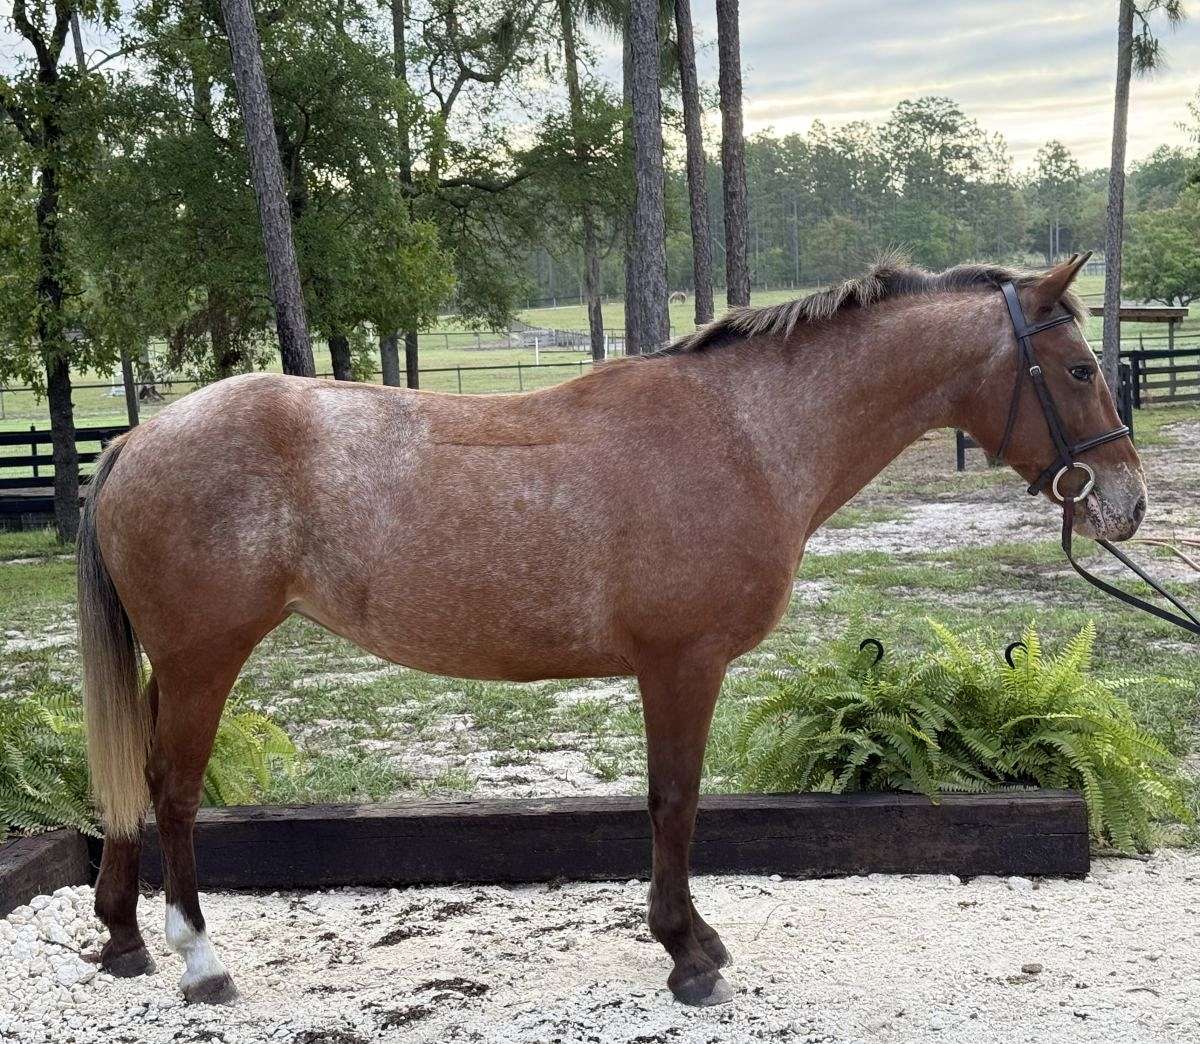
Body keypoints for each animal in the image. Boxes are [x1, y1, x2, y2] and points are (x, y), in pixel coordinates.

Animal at [79, 252, 1146, 1007]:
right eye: (1081, 367)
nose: (1126, 505)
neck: (745, 435)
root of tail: (138, 435)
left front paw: (693, 941)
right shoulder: (682, 665)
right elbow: (675, 803)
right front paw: (688, 954)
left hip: (172, 664)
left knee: (135, 776)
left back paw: (123, 938)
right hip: (205, 658)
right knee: (174, 790)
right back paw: (199, 960)